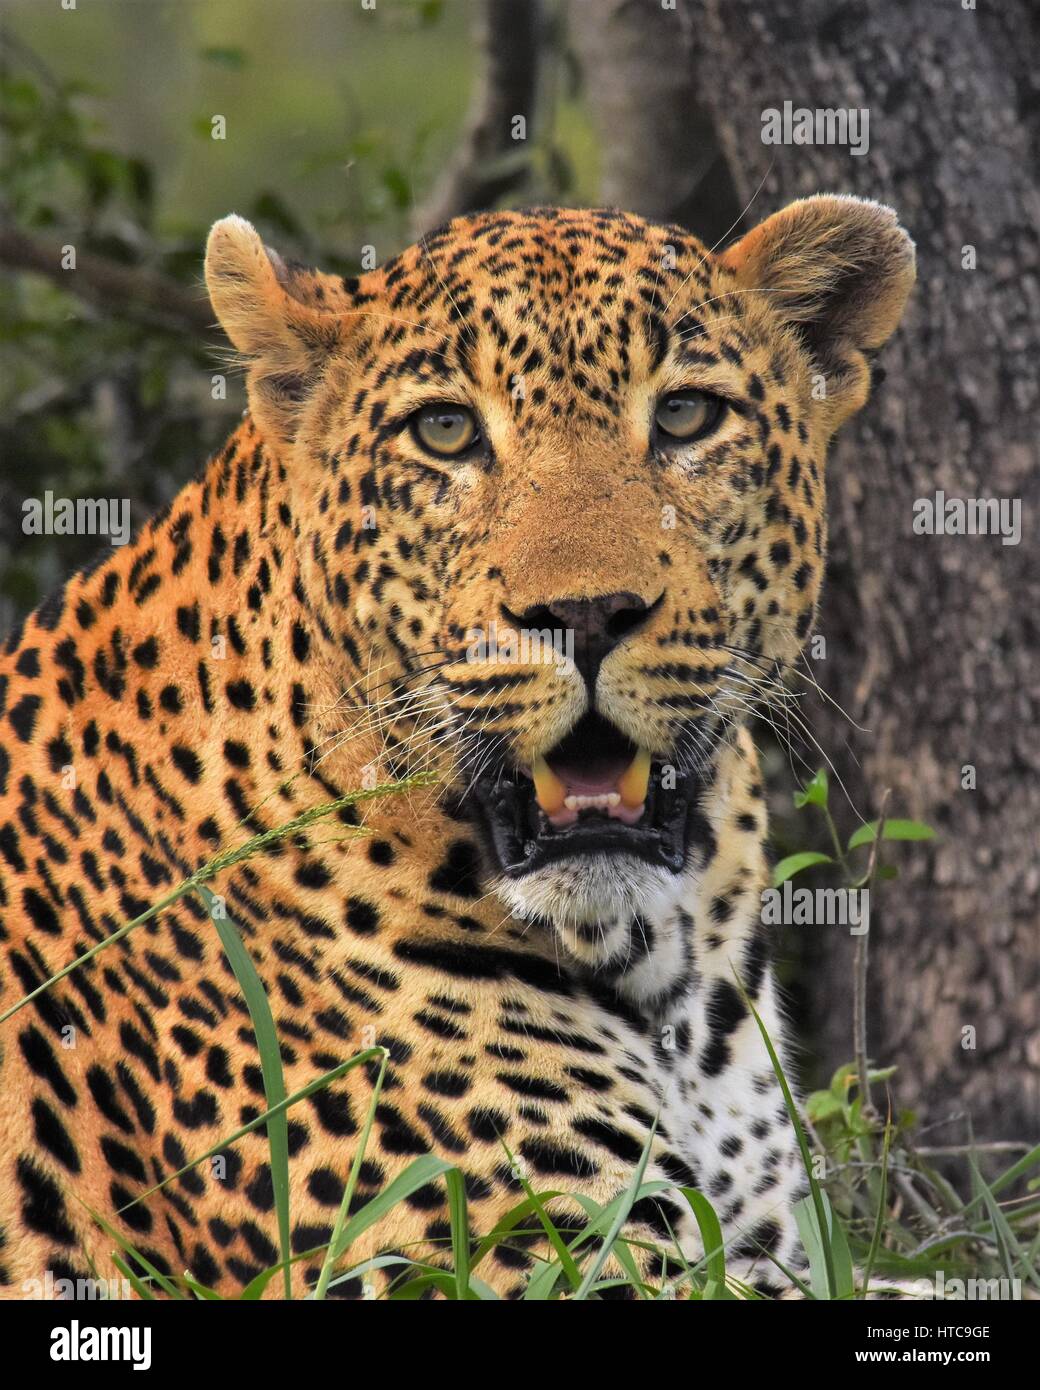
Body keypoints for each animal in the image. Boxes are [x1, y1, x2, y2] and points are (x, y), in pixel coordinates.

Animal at [0, 196, 914, 1299]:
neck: (669, 977)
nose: (586, 613)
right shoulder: (536, 1258)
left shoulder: (771, 1239)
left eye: (687, 416)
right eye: (444, 431)